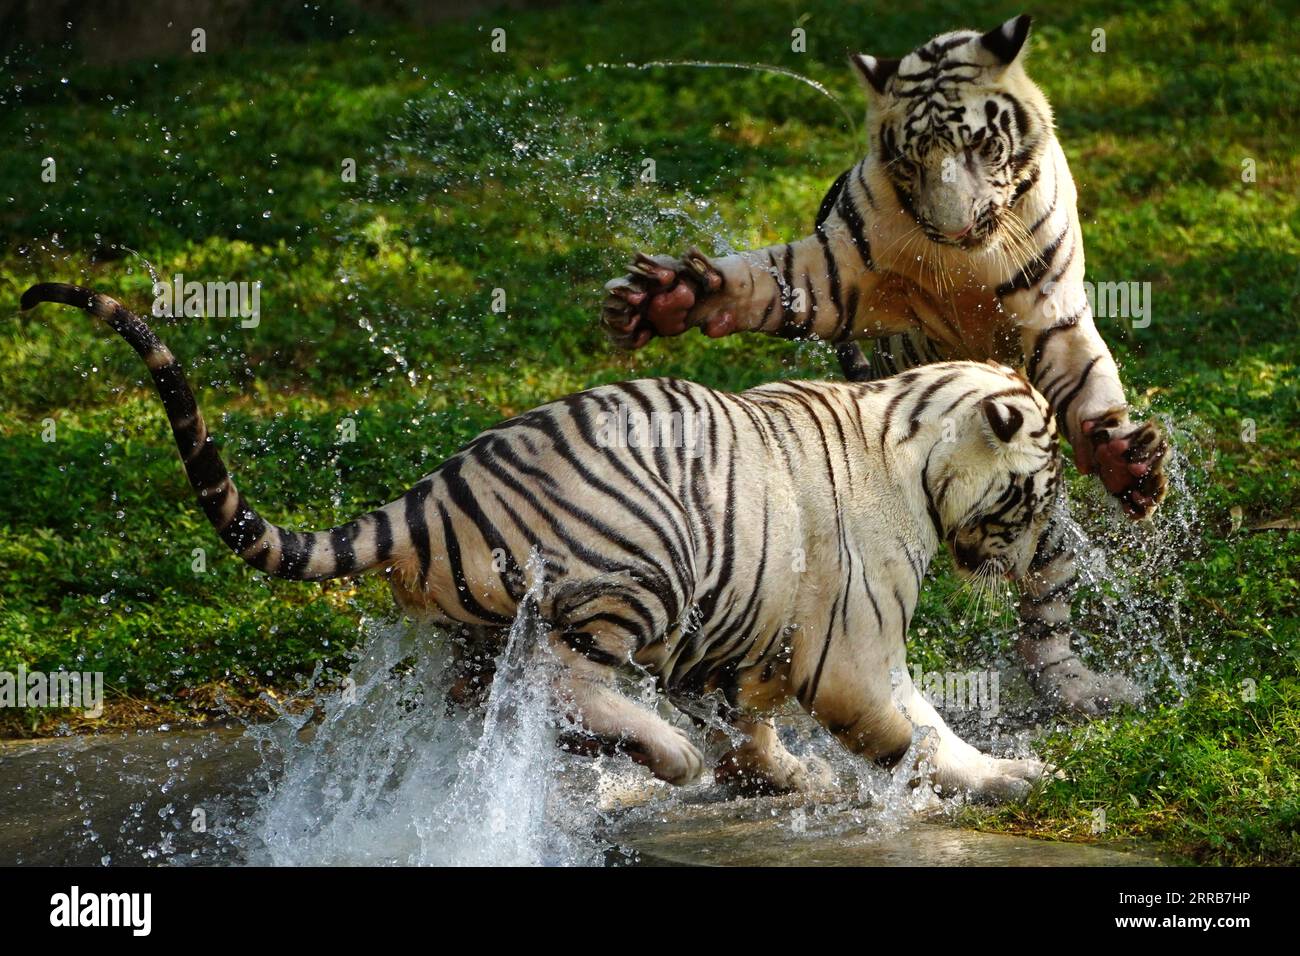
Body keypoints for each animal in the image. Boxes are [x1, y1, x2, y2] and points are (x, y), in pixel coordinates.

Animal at [22, 281, 1062, 800]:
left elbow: (752, 720)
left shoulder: (744, 635)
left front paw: (782, 775)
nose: (1036, 556)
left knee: (499, 698)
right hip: (638, 562)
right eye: (1042, 492)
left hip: (478, 632)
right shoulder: (853, 649)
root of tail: (429, 496)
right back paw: (666, 756)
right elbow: (918, 728)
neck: (915, 442)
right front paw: (1006, 775)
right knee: (561, 680)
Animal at [601, 14, 1168, 716]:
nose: (957, 229)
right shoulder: (829, 276)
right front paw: (668, 298)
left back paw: (1075, 685)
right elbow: (755, 281)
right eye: (911, 159)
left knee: (1046, 592)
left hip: (1036, 523)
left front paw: (1128, 464)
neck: (963, 264)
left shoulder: (1053, 313)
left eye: (984, 147)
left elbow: (1089, 388)